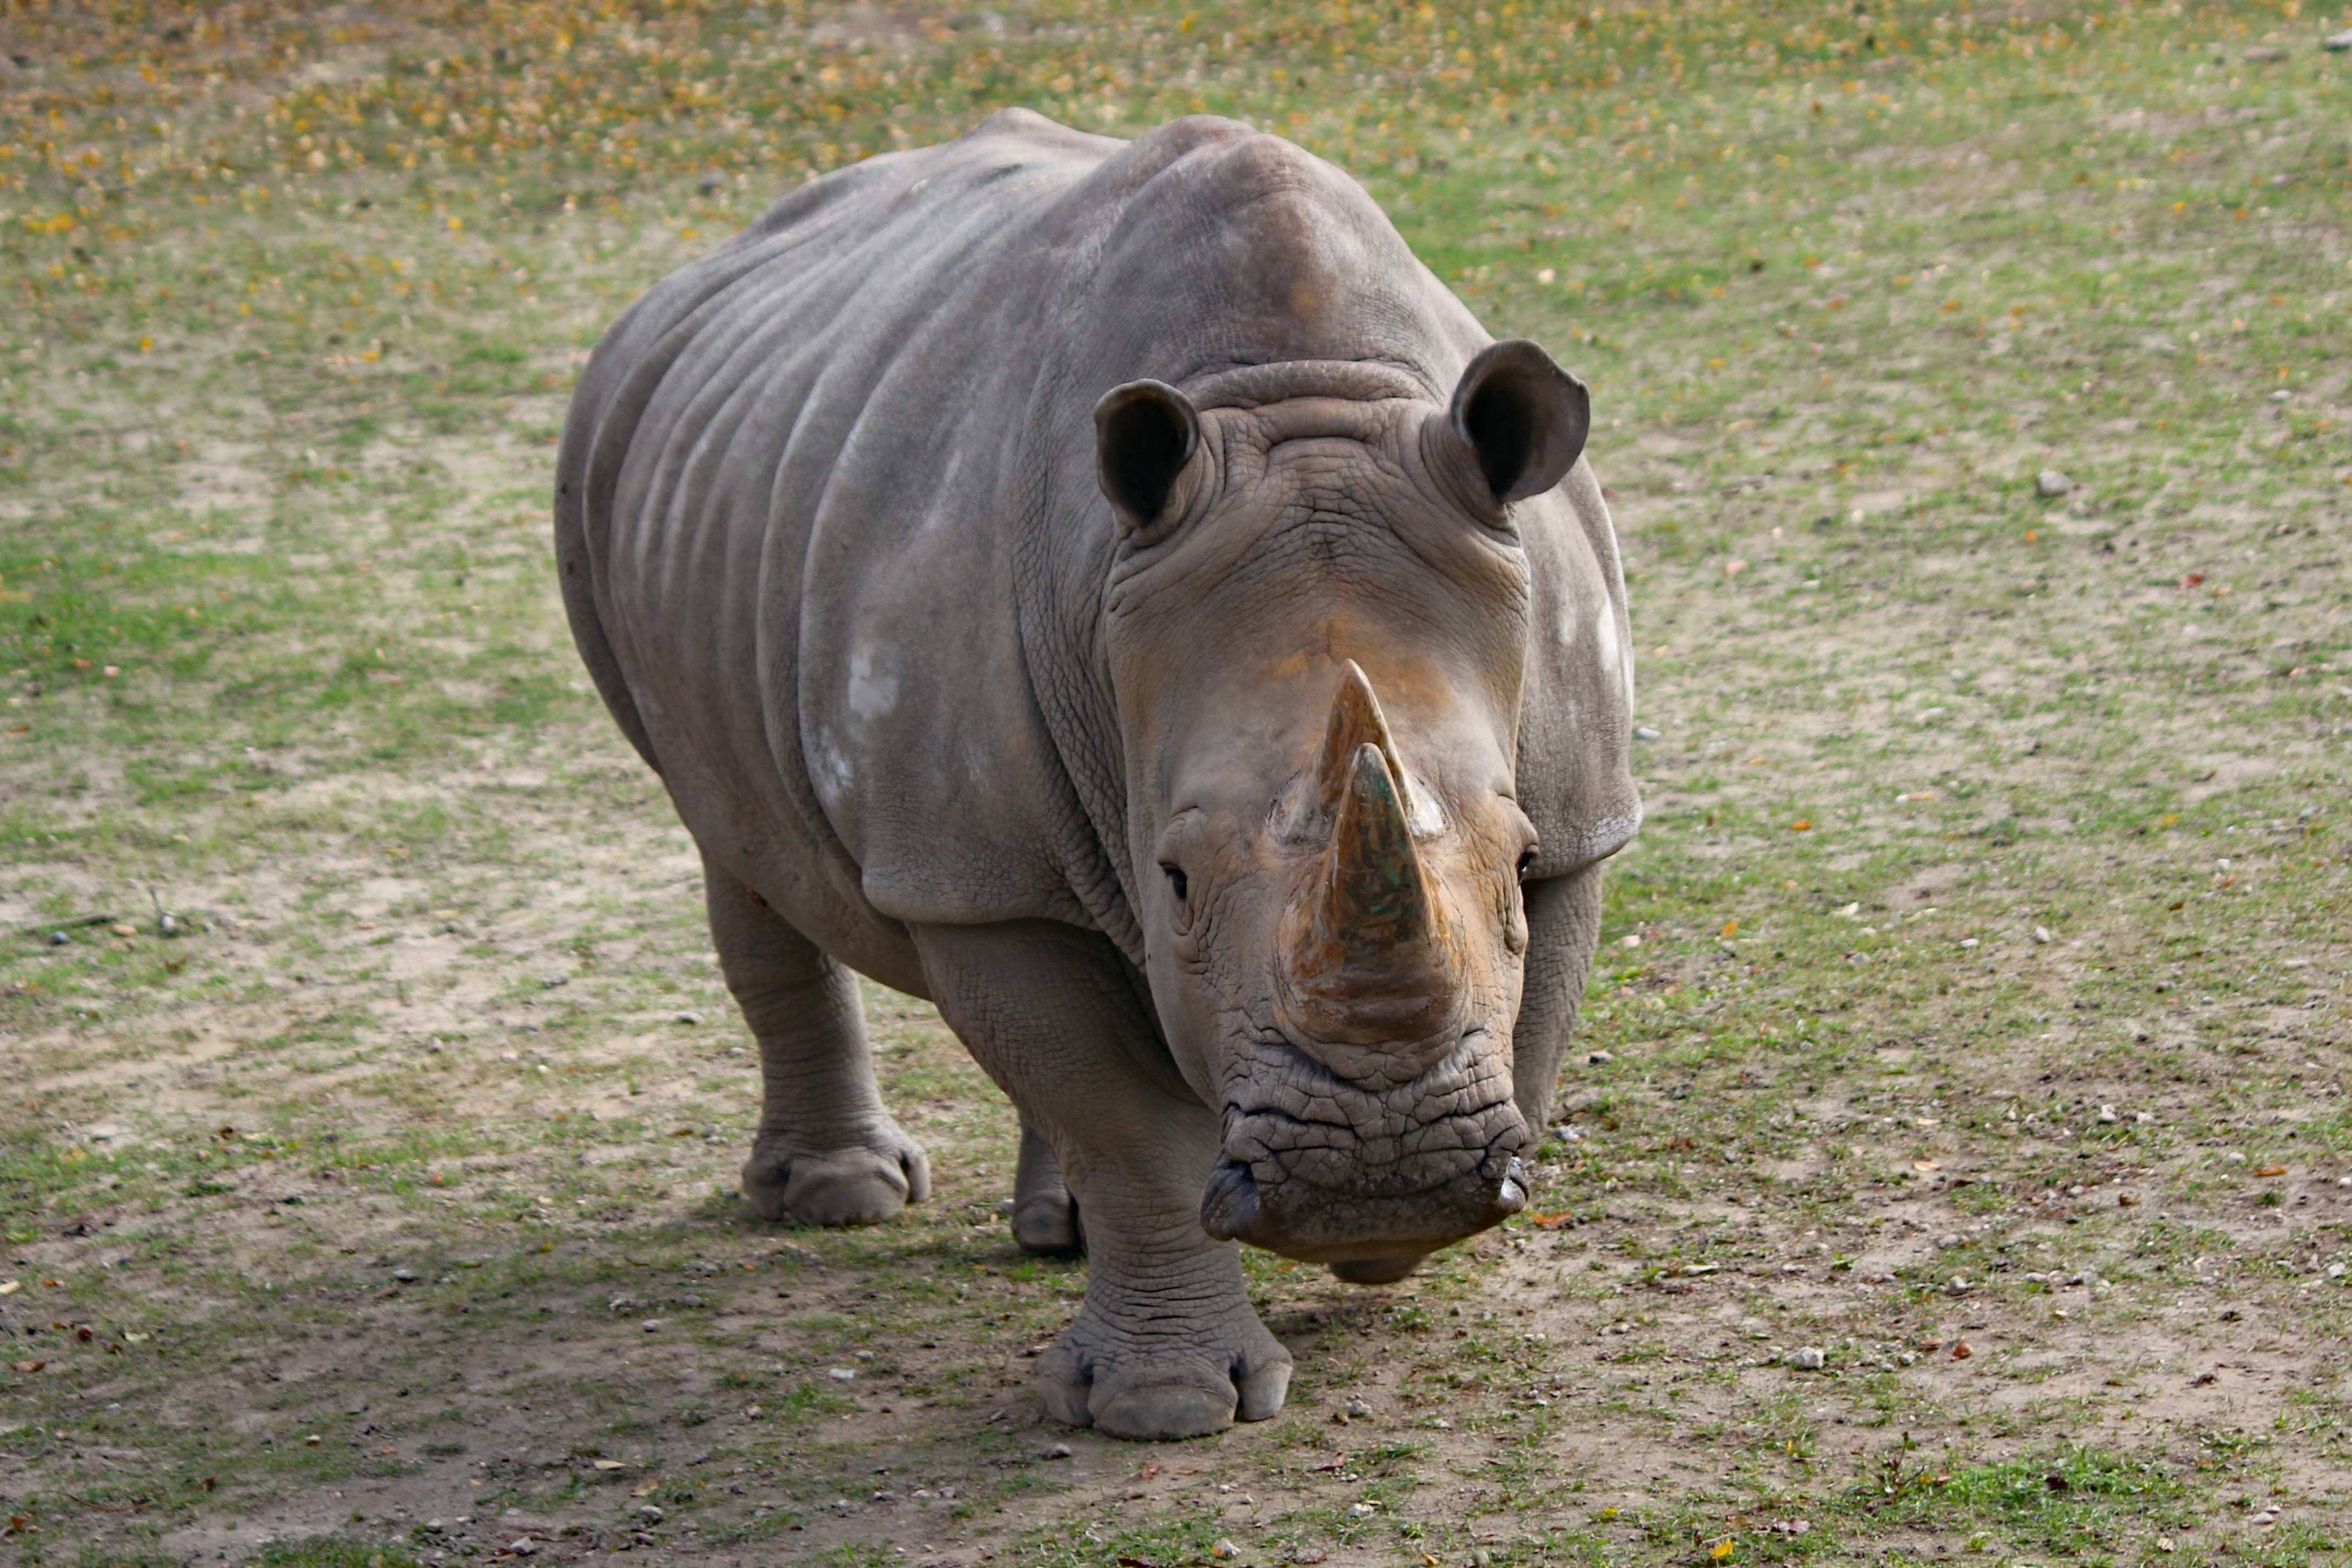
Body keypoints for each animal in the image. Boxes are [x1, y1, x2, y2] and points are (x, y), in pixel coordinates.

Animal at [555, 110, 1639, 1441]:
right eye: (1174, 880)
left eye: (1520, 859)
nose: (1376, 1170)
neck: (1291, 396)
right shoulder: (969, 875)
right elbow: (1122, 1125)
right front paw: (1162, 1408)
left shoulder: (1585, 806)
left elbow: (1529, 1021)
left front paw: (1387, 1240)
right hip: (613, 493)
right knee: (734, 846)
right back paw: (841, 1199)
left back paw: (1052, 1235)